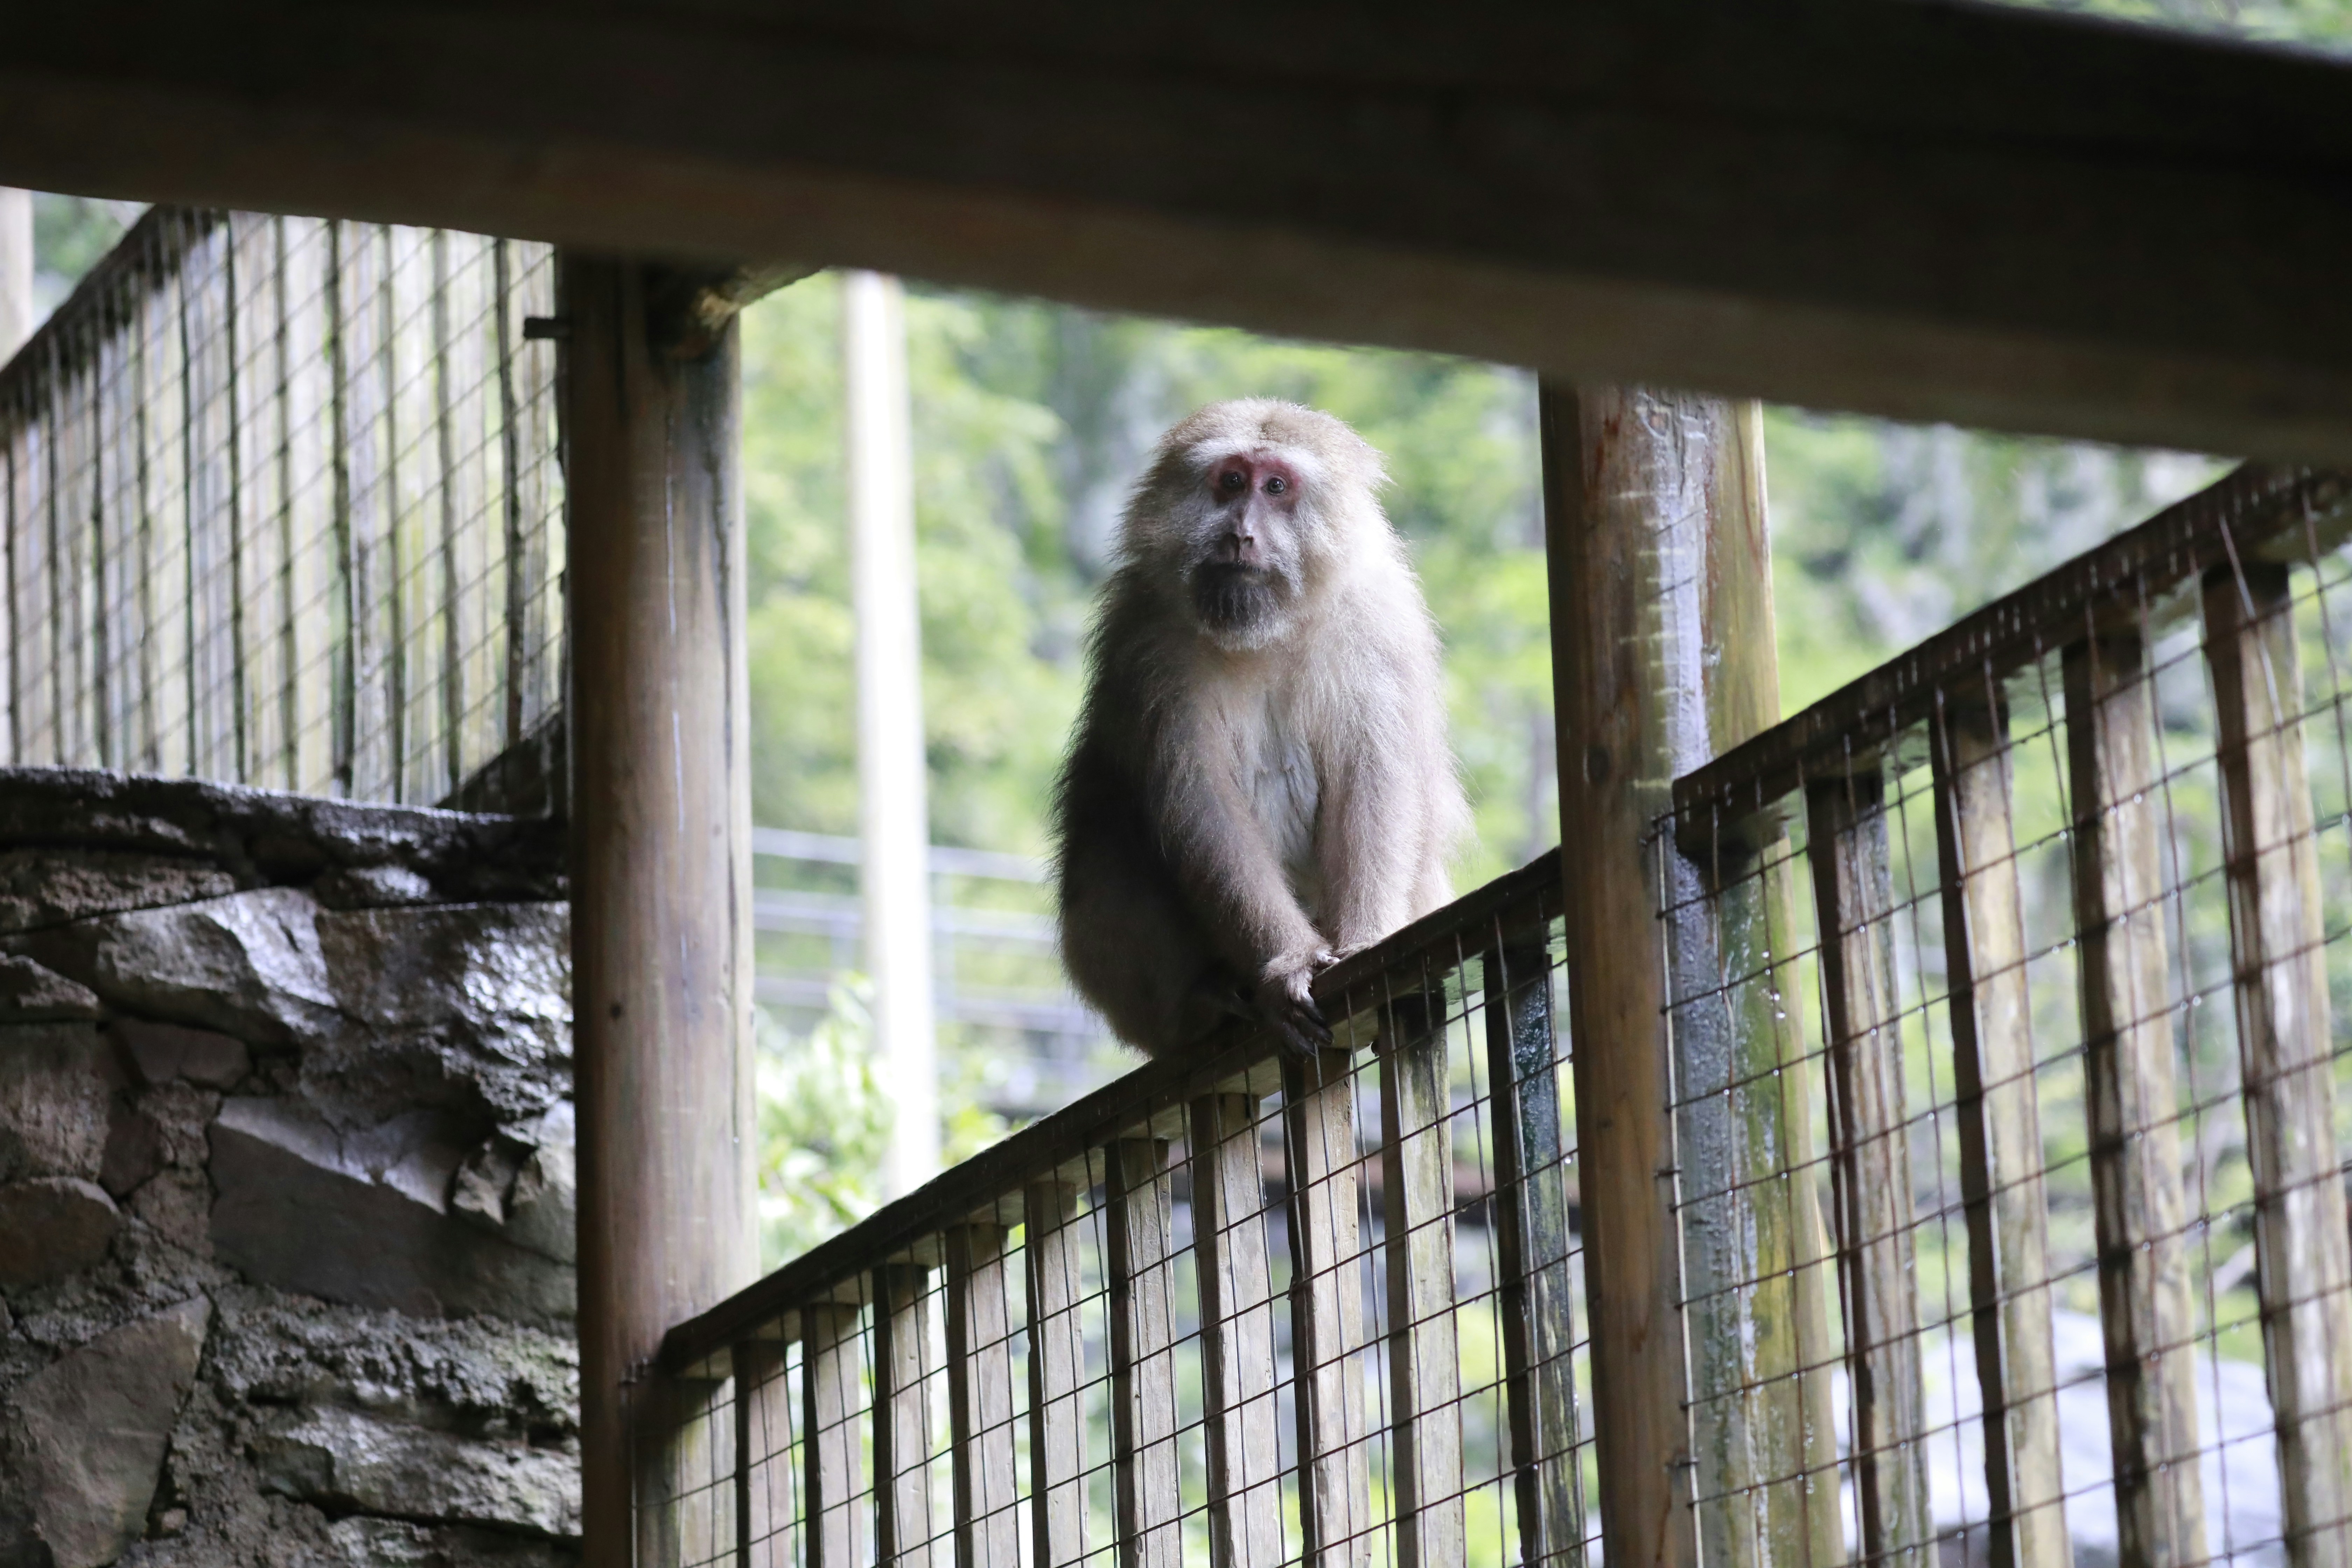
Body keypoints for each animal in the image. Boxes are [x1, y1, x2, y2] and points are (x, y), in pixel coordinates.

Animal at [1052, 398, 1468, 1061]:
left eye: (1276, 487)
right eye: (1231, 481)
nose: (1240, 534)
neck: (1268, 633)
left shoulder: (1376, 624)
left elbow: (1376, 778)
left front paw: (1369, 939)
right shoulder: (1146, 636)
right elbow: (1201, 802)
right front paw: (1288, 960)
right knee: (1105, 823)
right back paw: (1205, 998)